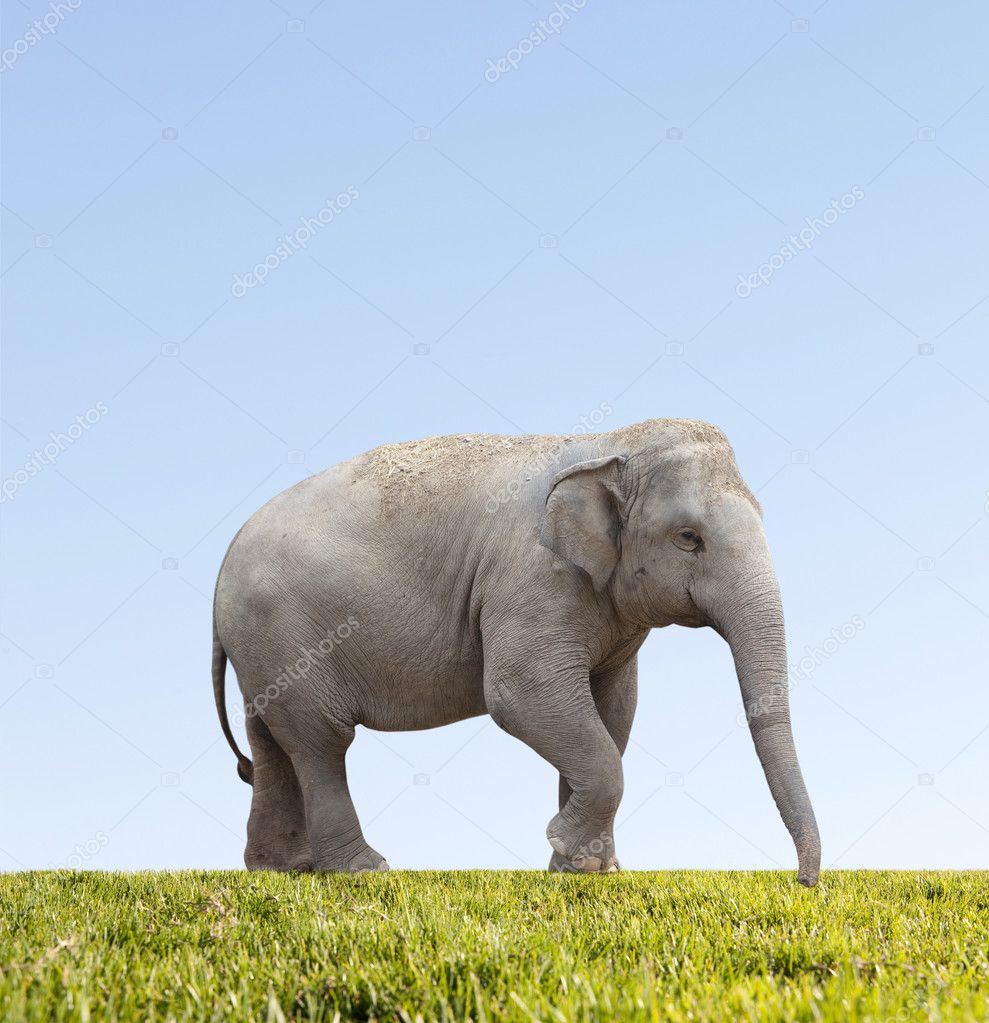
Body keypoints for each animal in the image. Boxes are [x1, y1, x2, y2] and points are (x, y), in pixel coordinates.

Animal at [212, 418, 821, 885]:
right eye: (689, 538)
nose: (803, 882)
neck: (610, 443)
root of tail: (223, 562)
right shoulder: (532, 577)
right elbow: (522, 696)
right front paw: (574, 855)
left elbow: (613, 713)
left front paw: (585, 870)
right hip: (285, 635)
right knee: (321, 742)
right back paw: (364, 870)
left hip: (263, 650)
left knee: (272, 745)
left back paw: (281, 870)